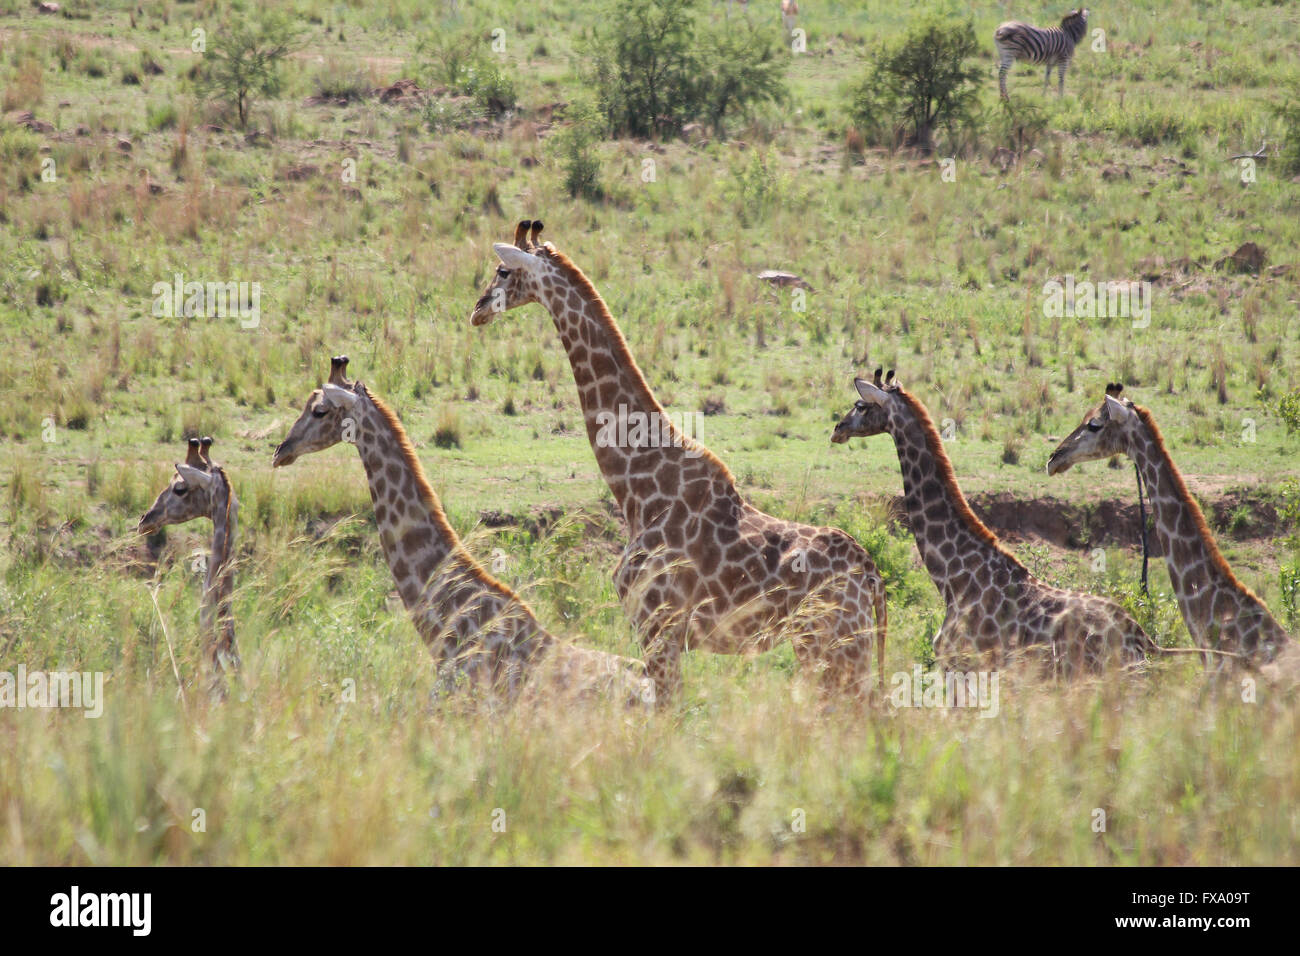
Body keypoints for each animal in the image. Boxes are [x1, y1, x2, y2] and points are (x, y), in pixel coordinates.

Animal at [470, 220, 886, 701]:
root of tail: (872, 577)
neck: (638, 487)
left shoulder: (658, 626)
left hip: (832, 644)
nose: (477, 310)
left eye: (502, 270)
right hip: (836, 646)